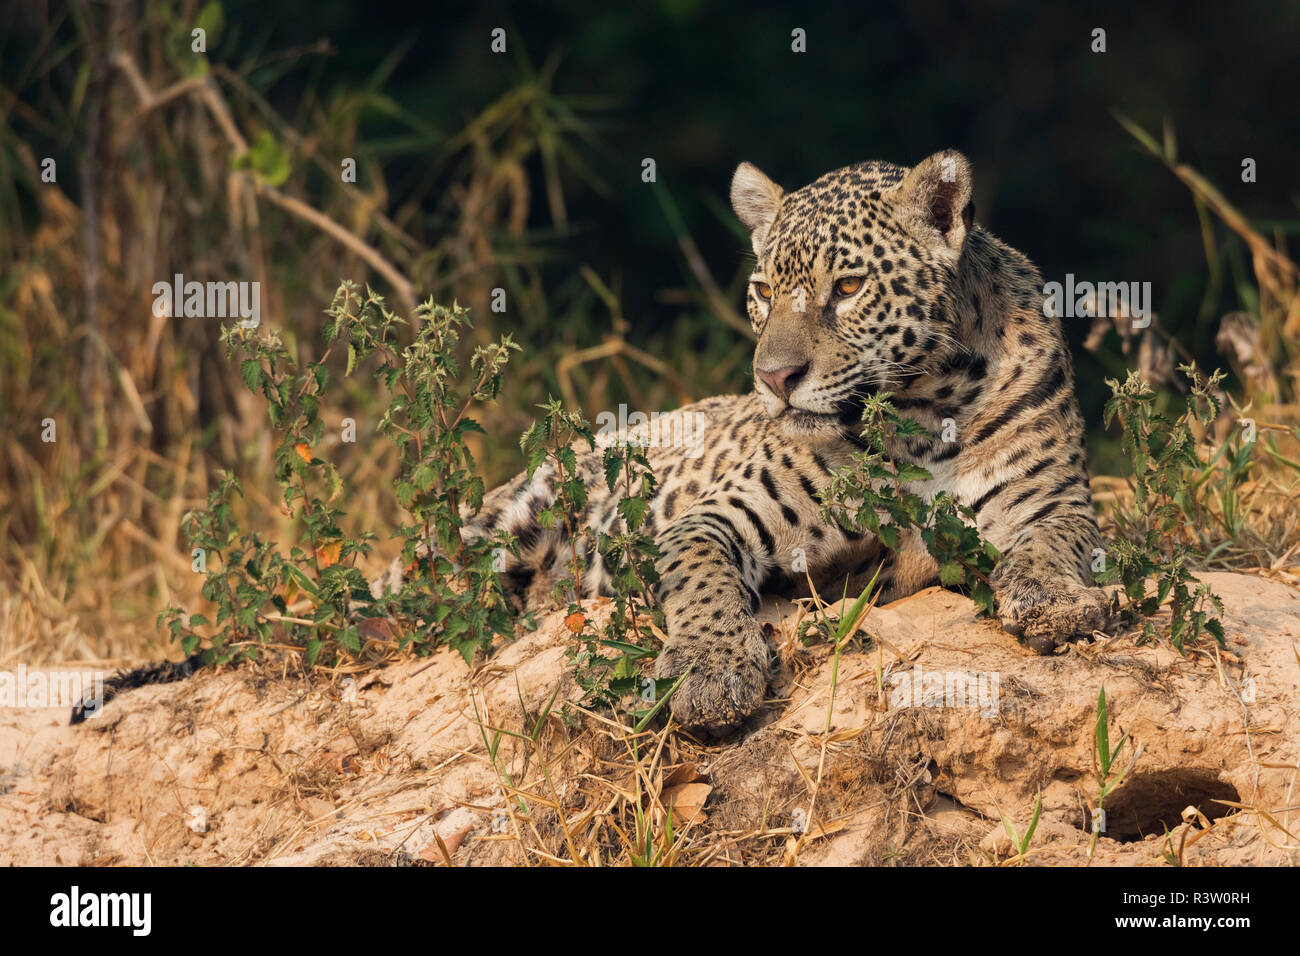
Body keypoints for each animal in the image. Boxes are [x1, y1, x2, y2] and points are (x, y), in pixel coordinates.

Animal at [73, 150, 1110, 733]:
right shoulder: (711, 517)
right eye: (763, 290)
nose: (774, 378)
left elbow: (1060, 542)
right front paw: (713, 672)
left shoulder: (1058, 499)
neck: (922, 414)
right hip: (488, 533)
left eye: (847, 289)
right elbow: (701, 583)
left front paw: (1055, 598)